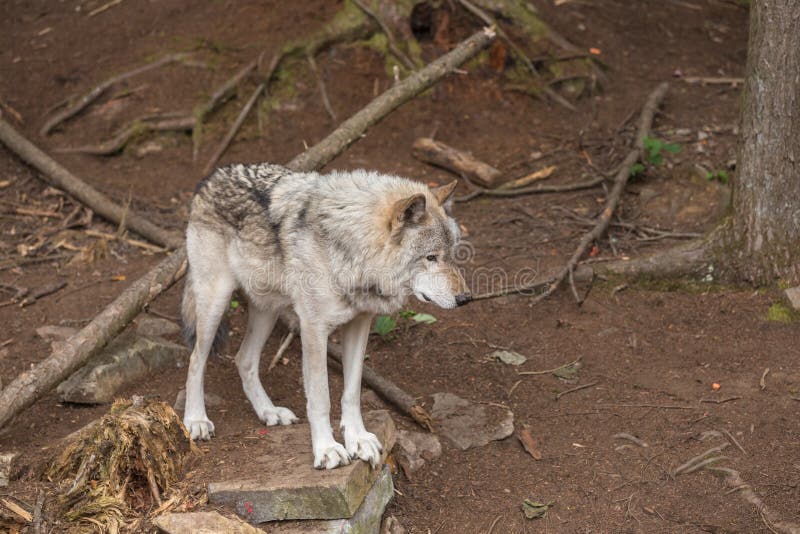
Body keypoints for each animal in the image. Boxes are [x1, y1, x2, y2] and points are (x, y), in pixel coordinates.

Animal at [181, 163, 470, 469]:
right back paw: (196, 420)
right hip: (215, 301)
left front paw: (358, 440)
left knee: (243, 359)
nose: (465, 298)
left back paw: (269, 412)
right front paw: (327, 449)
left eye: (452, 254)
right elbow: (321, 399)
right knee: (196, 360)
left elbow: (351, 392)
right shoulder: (313, 329)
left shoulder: (359, 324)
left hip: (267, 310)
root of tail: (212, 176)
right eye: (431, 257)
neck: (351, 249)